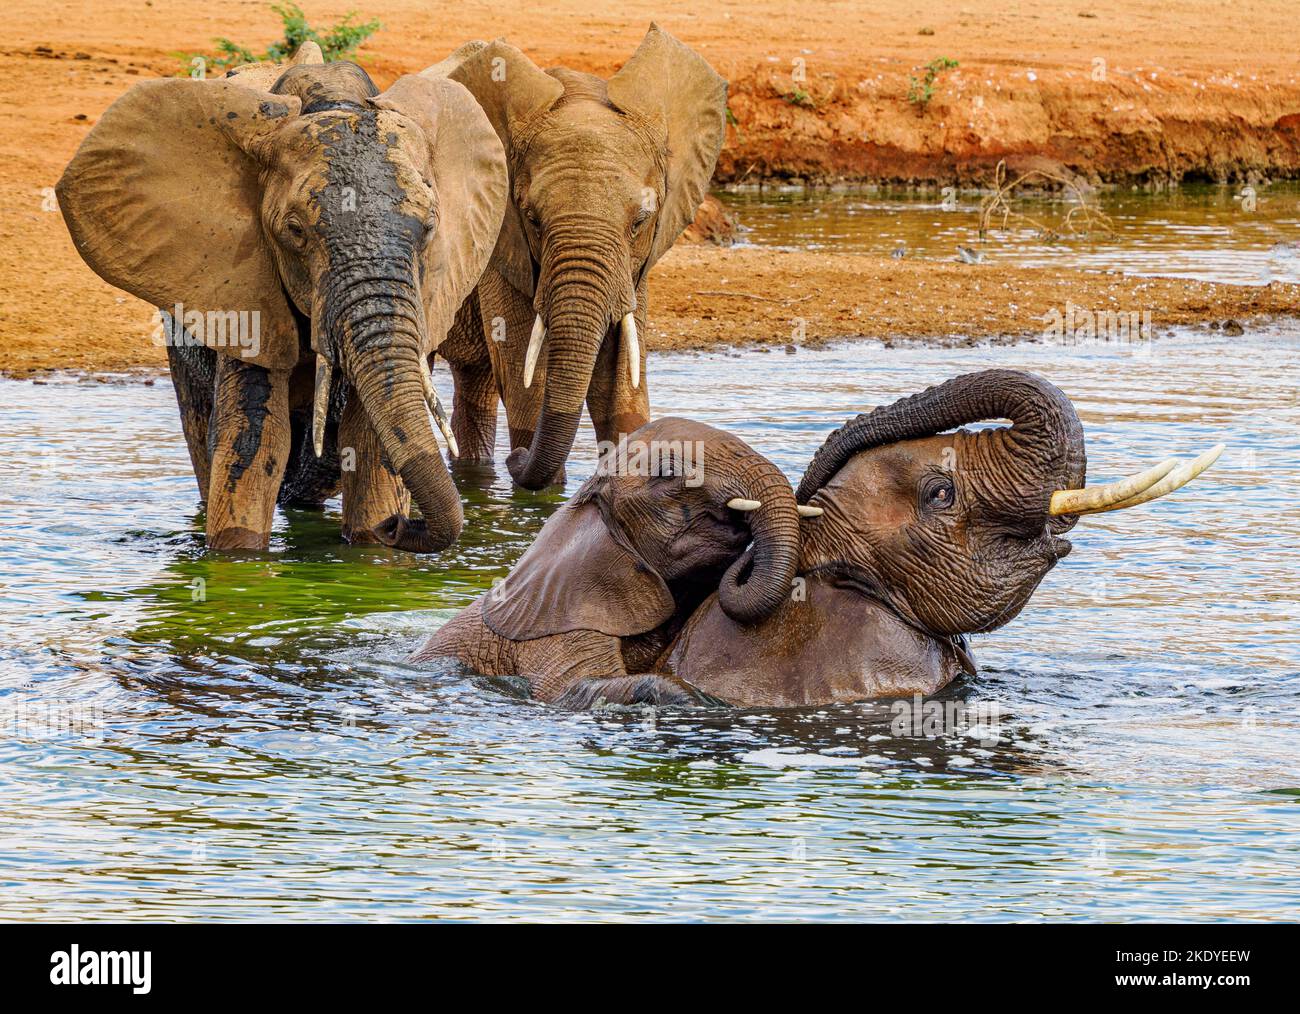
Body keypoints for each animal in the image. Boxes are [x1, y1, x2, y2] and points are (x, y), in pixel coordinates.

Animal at [57, 43, 508, 552]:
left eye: (429, 227)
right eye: (295, 231)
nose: (398, 526)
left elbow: (368, 445)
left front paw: (369, 548)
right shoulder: (243, 286)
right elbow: (252, 439)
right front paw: (238, 563)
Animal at [421, 24, 728, 490]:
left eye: (640, 221)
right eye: (532, 219)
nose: (517, 458)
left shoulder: (634, 269)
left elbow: (620, 384)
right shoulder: (501, 243)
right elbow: (525, 375)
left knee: (476, 383)